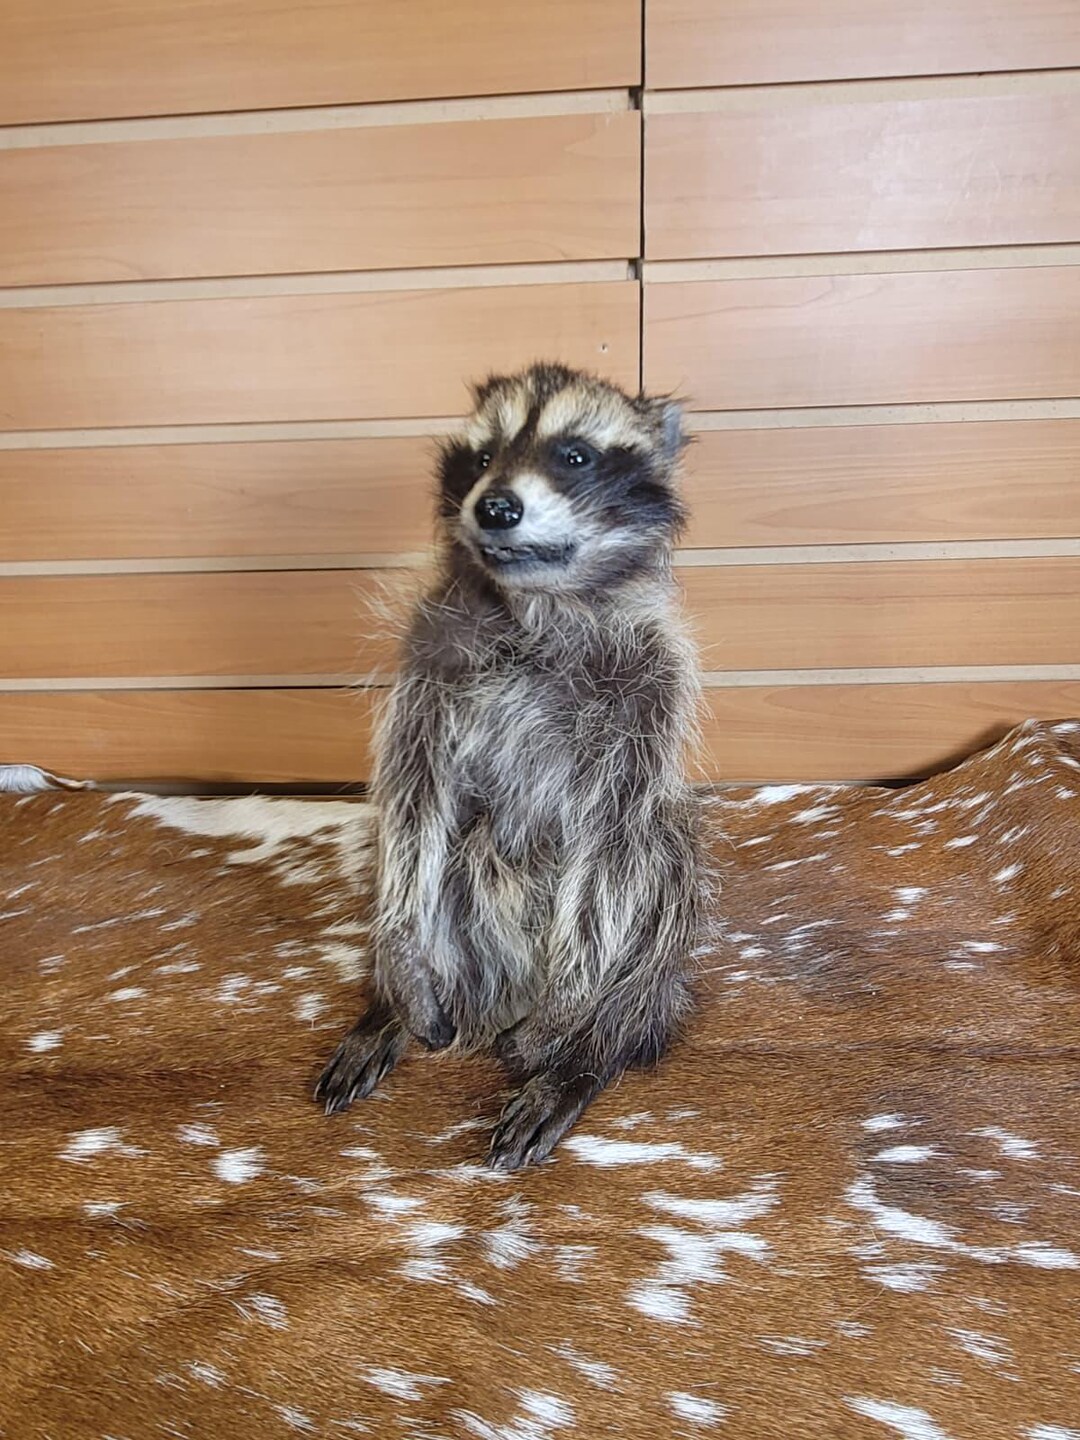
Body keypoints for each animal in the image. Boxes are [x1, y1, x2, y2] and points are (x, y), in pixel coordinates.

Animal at [316, 363, 704, 1170]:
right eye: (484, 455)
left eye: (575, 455)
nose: (495, 506)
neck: (538, 606)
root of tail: (498, 1005)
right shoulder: (425, 666)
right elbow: (411, 803)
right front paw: (401, 961)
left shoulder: (651, 687)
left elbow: (614, 846)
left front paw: (573, 1014)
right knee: (432, 860)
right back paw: (392, 1004)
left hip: (662, 909)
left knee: (663, 868)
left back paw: (583, 1052)